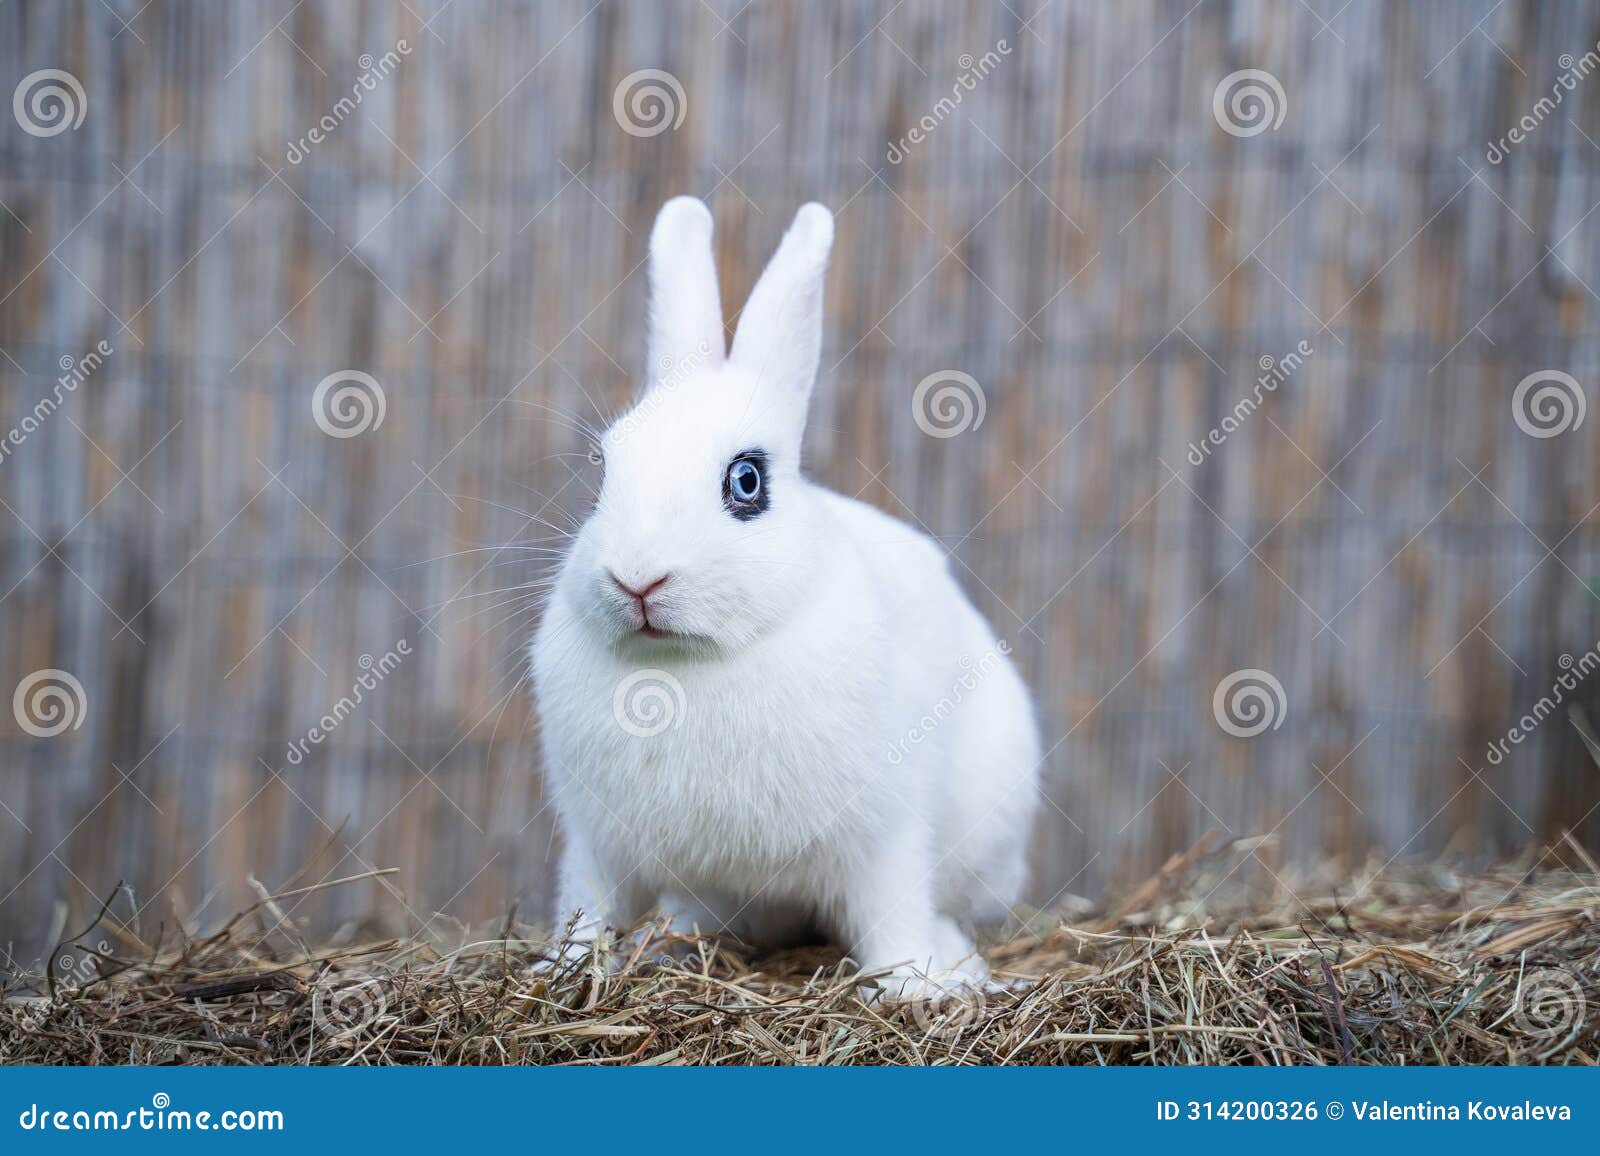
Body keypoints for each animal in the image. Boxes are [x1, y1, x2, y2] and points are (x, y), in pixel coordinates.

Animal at [530, 197, 1041, 996]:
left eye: (747, 481)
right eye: (604, 468)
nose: (637, 578)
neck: (687, 665)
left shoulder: (885, 835)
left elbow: (892, 912)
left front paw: (914, 985)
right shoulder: (598, 842)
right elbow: (588, 906)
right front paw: (566, 969)